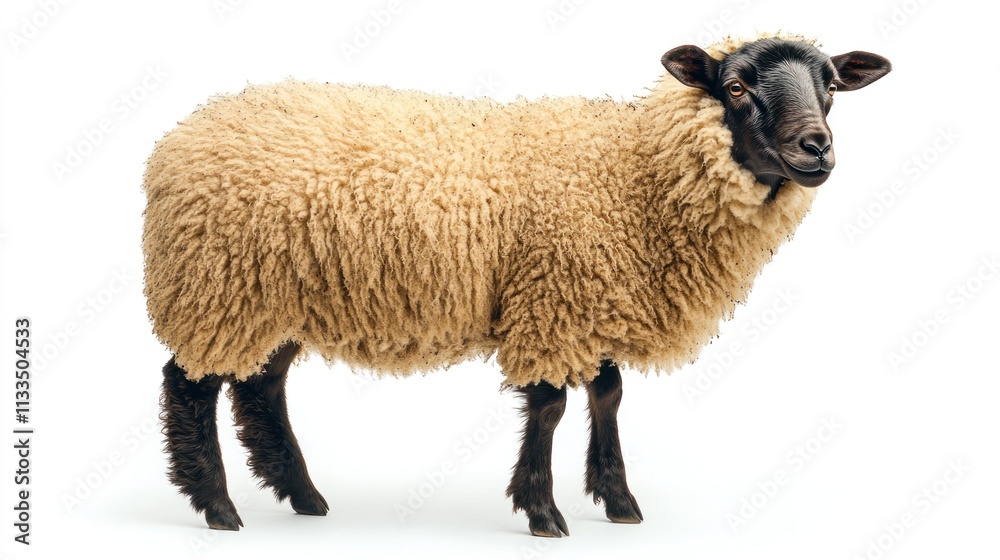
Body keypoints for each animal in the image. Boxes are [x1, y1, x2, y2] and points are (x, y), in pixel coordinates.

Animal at [145, 33, 891, 535]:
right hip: (216, 288)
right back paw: (217, 506)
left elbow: (608, 396)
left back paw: (301, 495)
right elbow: (552, 407)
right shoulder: (553, 300)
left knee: (261, 387)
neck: (637, 174)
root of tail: (178, 138)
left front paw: (618, 501)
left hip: (276, 295)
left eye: (830, 85)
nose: (817, 148)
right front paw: (542, 510)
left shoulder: (594, 296)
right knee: (190, 387)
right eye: (735, 87)